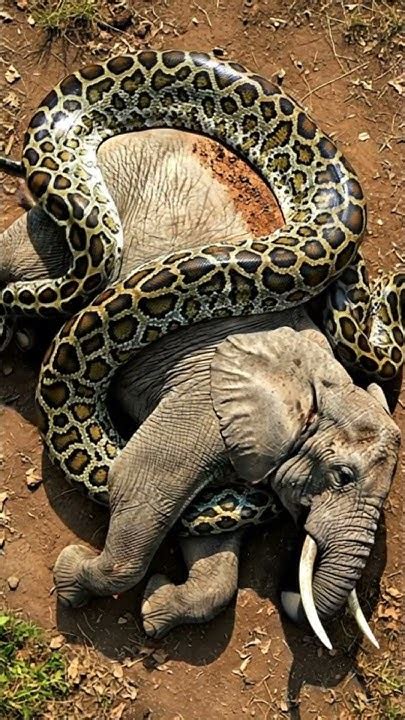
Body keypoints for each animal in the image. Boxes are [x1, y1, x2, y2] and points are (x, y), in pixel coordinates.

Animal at [0, 130, 401, 649]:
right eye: (343, 476)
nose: (290, 595)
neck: (322, 377)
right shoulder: (202, 404)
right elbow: (135, 486)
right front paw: (70, 577)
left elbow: (215, 553)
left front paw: (158, 608)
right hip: (75, 216)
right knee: (17, 259)